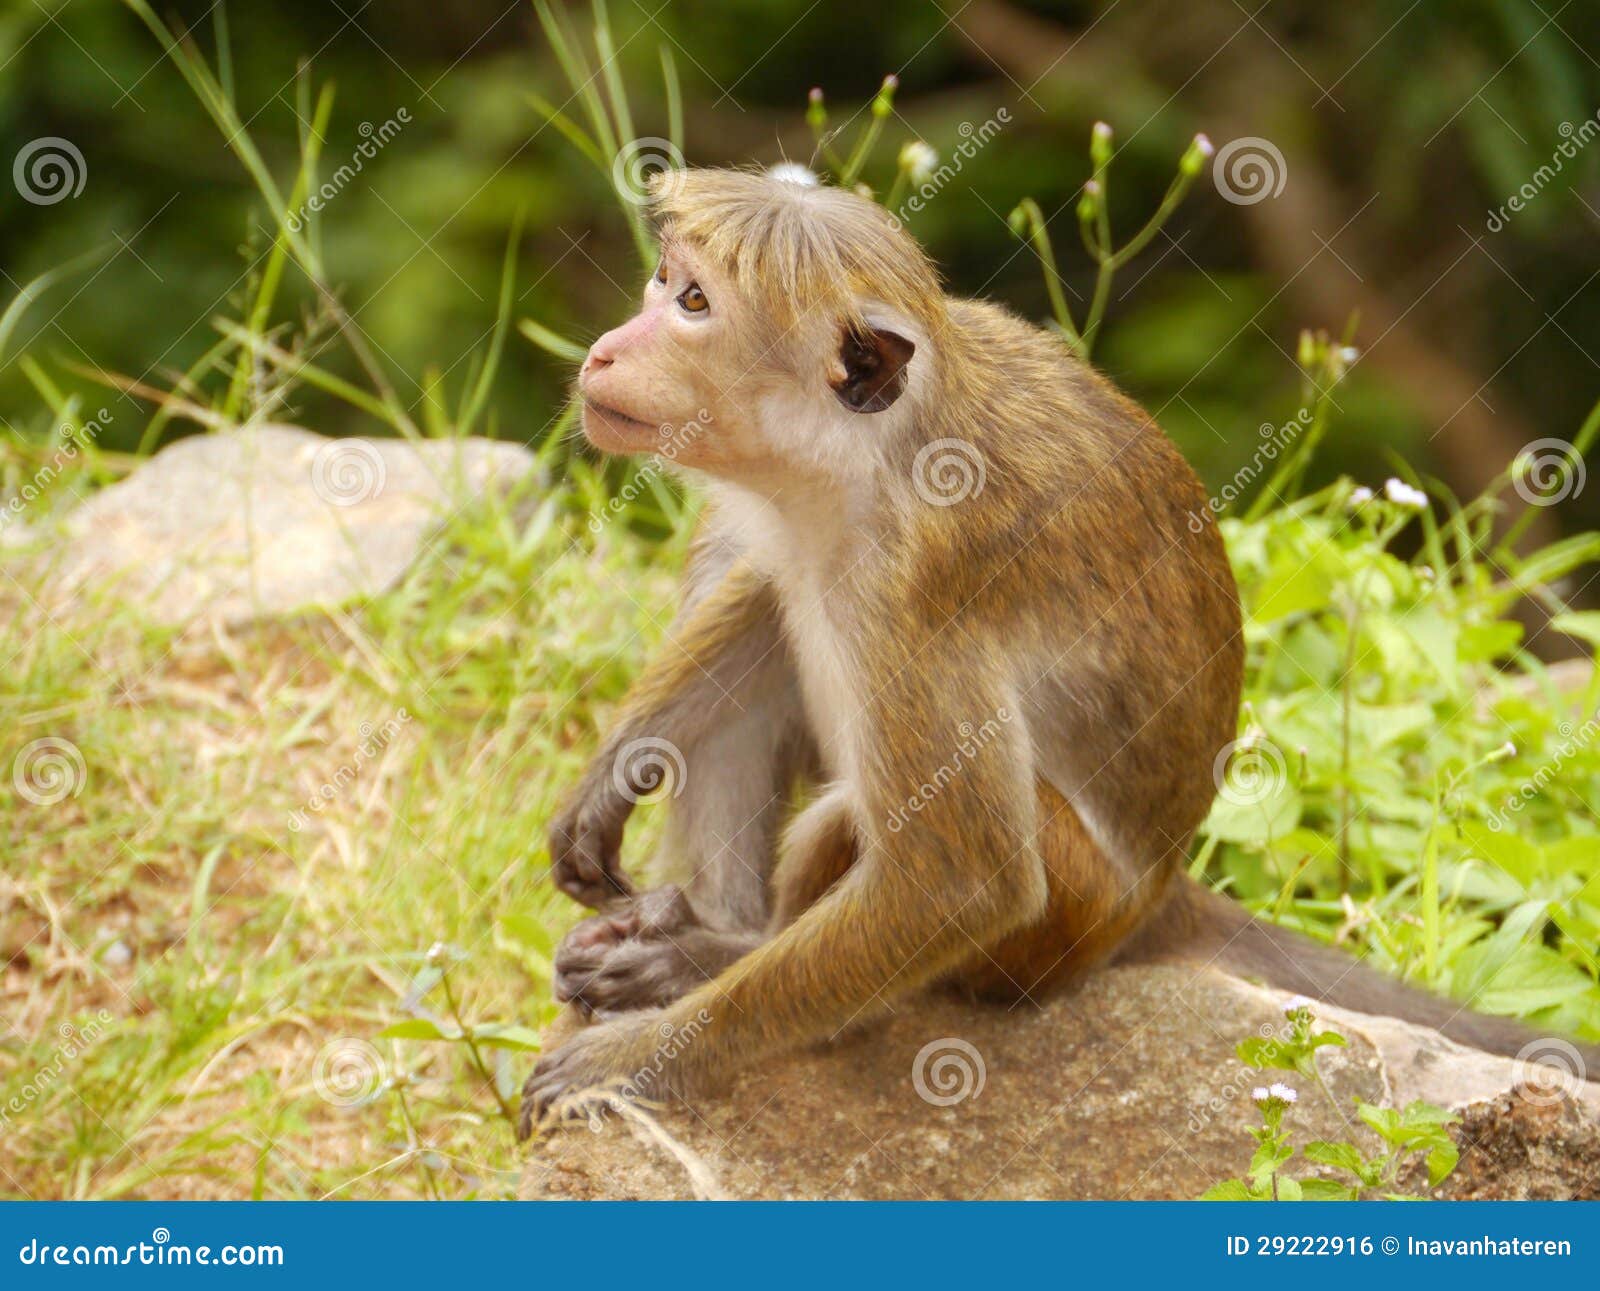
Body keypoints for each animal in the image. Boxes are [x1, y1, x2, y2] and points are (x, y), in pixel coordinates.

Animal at [518, 167, 1598, 1135]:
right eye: (666, 280)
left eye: (695, 303)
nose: (606, 351)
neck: (867, 457)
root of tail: (1161, 896)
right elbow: (765, 584)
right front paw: (618, 767)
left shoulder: (923, 588)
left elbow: (964, 881)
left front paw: (636, 1058)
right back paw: (720, 930)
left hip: (1066, 929)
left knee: (875, 820)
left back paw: (716, 953)